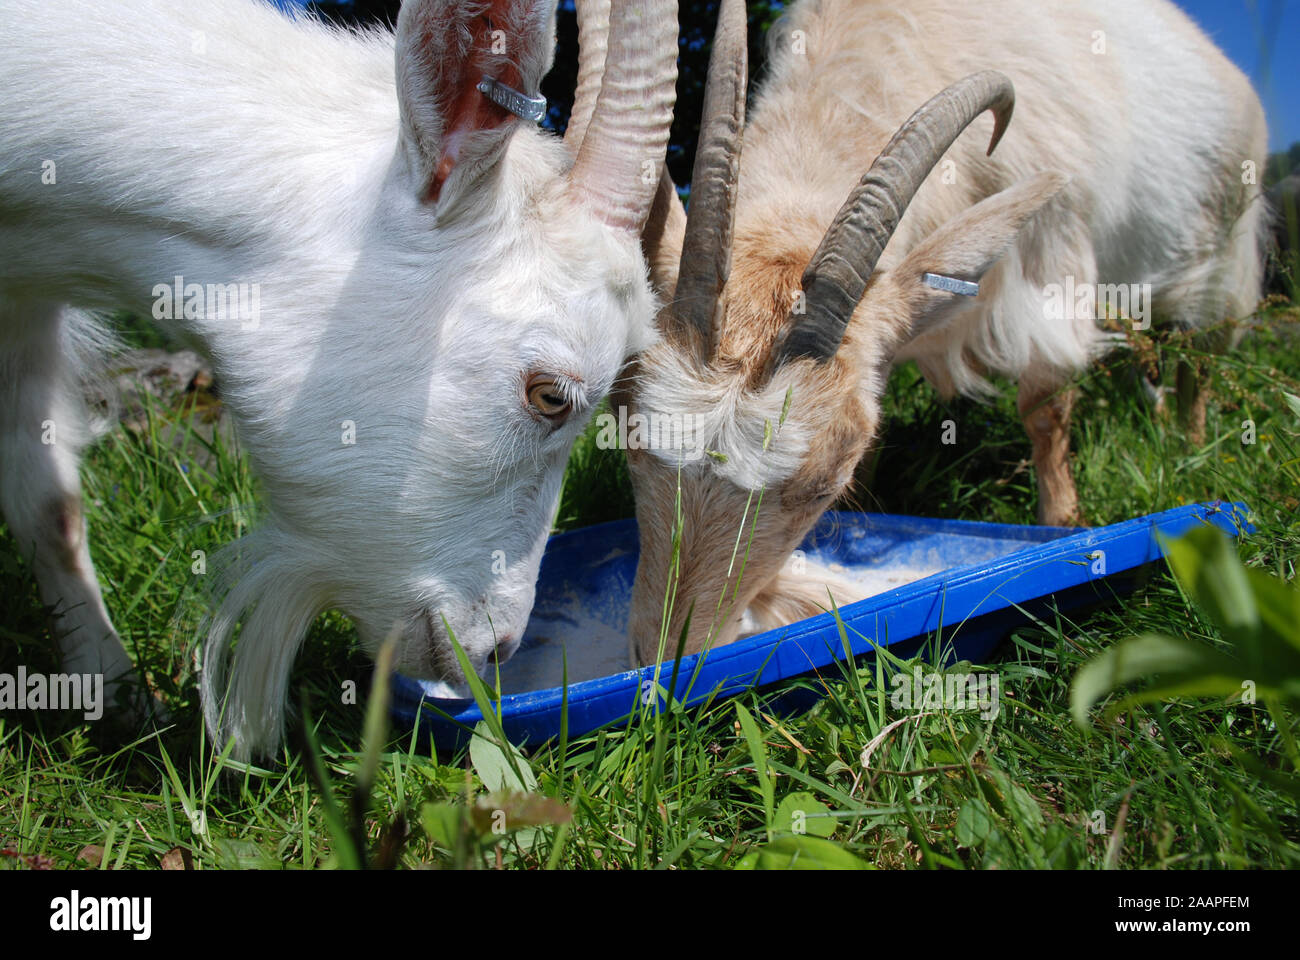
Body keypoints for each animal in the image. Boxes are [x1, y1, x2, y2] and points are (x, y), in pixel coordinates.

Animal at [619, 0, 1268, 664]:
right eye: (632, 438)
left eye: (824, 487)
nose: (663, 662)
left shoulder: (1053, 256)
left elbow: (1044, 405)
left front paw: (1064, 525)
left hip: (1226, 258)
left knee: (1199, 359)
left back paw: (1191, 439)